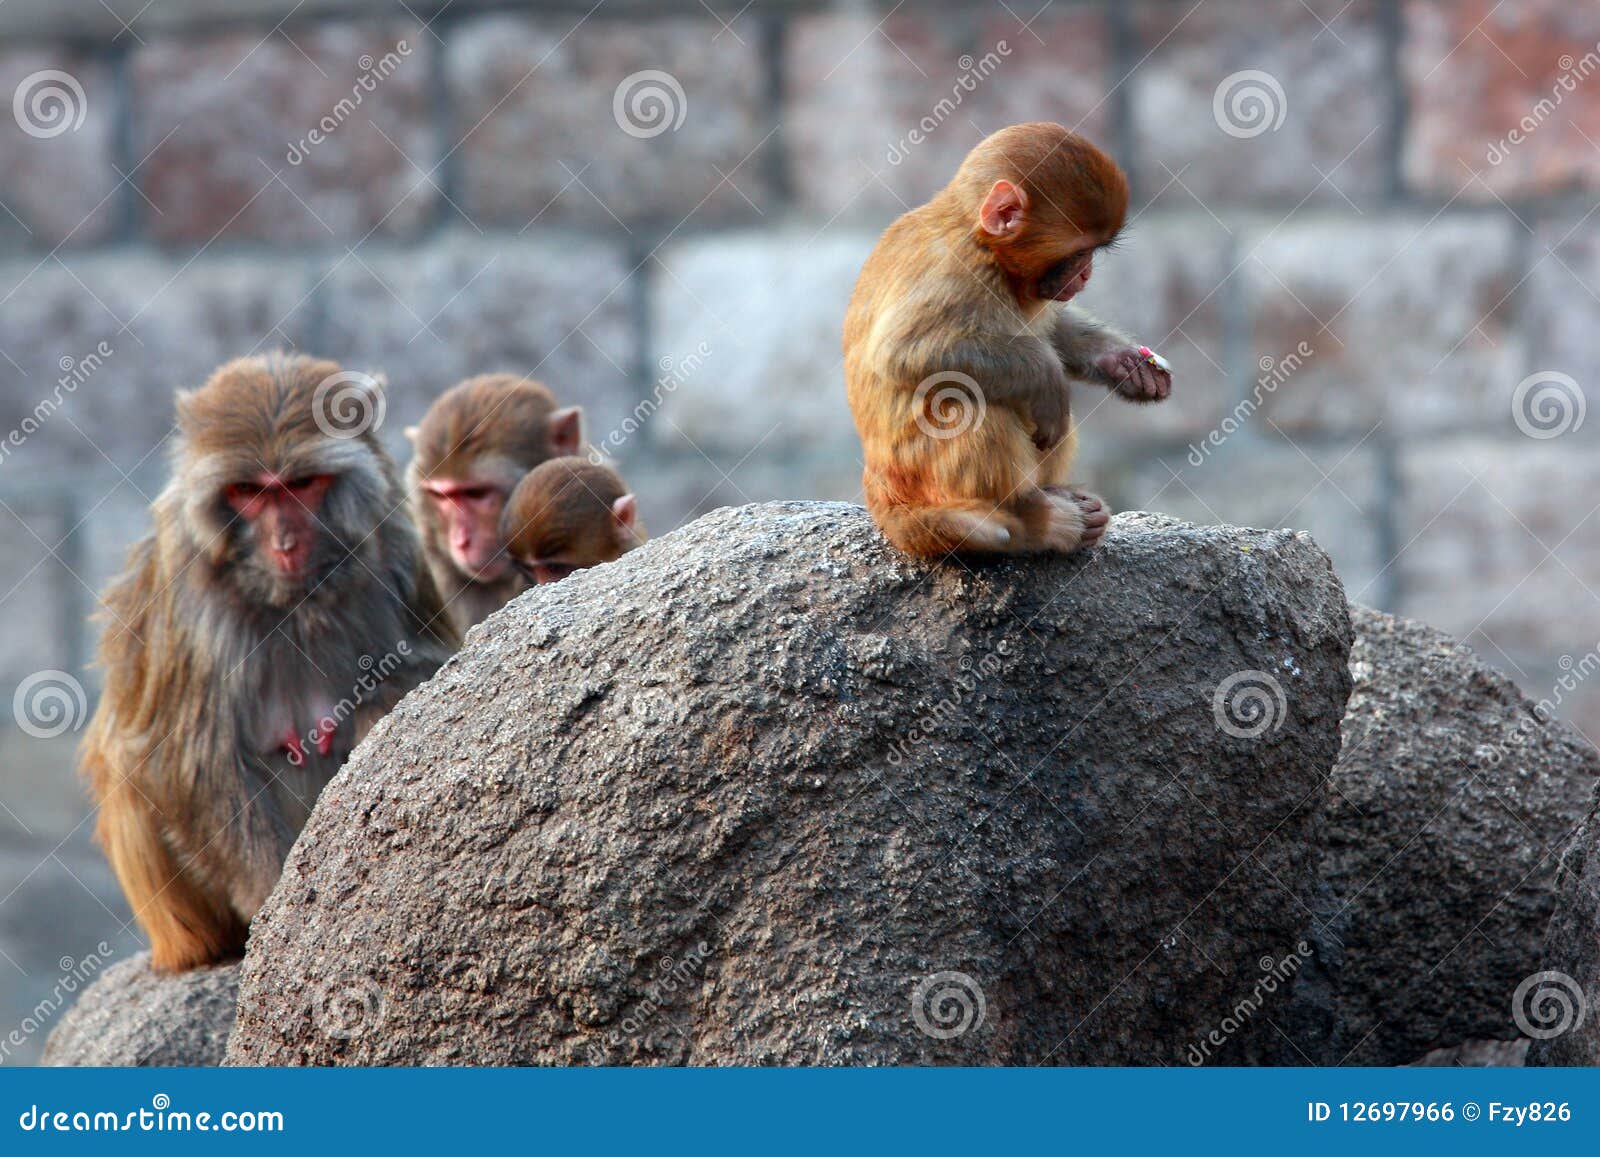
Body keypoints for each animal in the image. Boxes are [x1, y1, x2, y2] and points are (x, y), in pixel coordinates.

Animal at [80, 353, 457, 972]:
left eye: (301, 484)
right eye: (249, 491)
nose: (283, 544)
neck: (292, 600)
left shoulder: (395, 545)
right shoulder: (189, 586)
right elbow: (185, 759)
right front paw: (269, 904)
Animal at [843, 122, 1173, 558]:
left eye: (1092, 253)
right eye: (1079, 252)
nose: (1085, 275)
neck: (984, 244)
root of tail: (880, 489)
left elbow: (1052, 329)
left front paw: (1124, 364)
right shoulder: (954, 269)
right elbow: (904, 352)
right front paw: (1048, 379)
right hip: (920, 474)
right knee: (962, 398)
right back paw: (1030, 523)